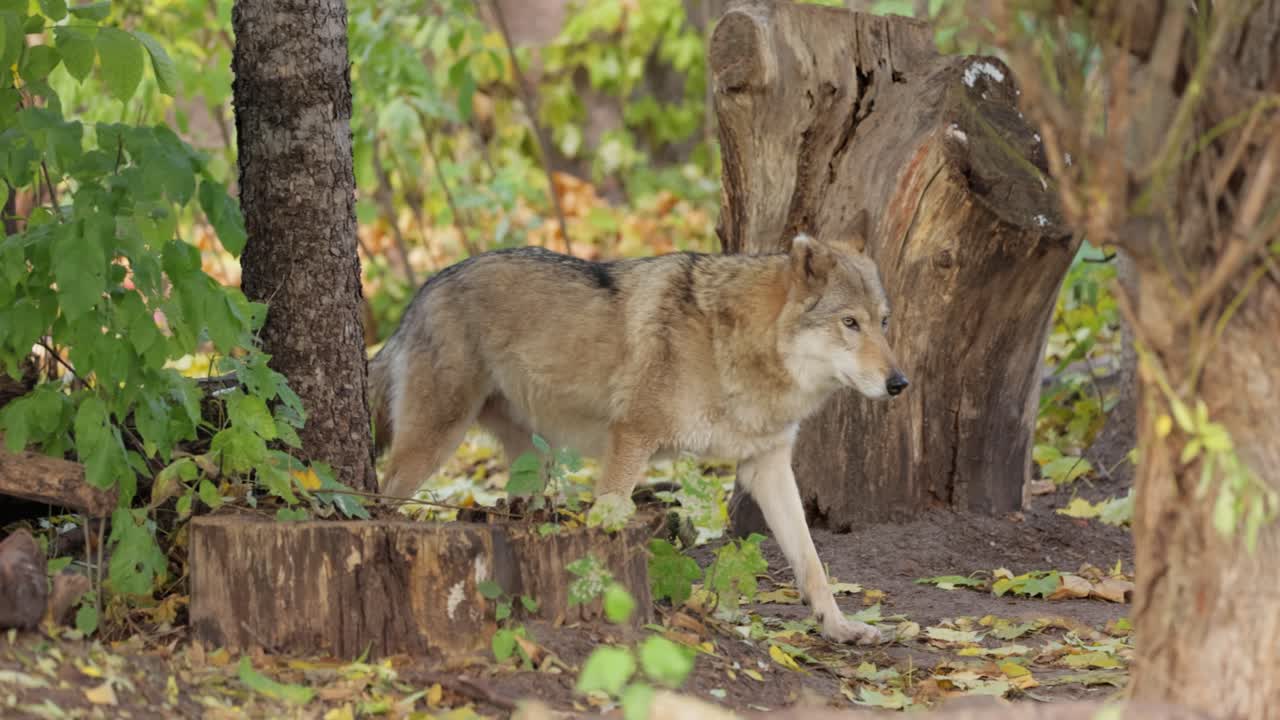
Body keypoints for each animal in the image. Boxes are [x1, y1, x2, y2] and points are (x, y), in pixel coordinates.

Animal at [368, 218, 908, 645]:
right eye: (850, 323)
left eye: (884, 323)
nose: (899, 383)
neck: (734, 344)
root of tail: (423, 292)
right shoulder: (632, 440)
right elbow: (604, 523)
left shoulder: (768, 465)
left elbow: (812, 562)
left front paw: (839, 627)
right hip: (431, 447)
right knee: (379, 499)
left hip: (533, 463)